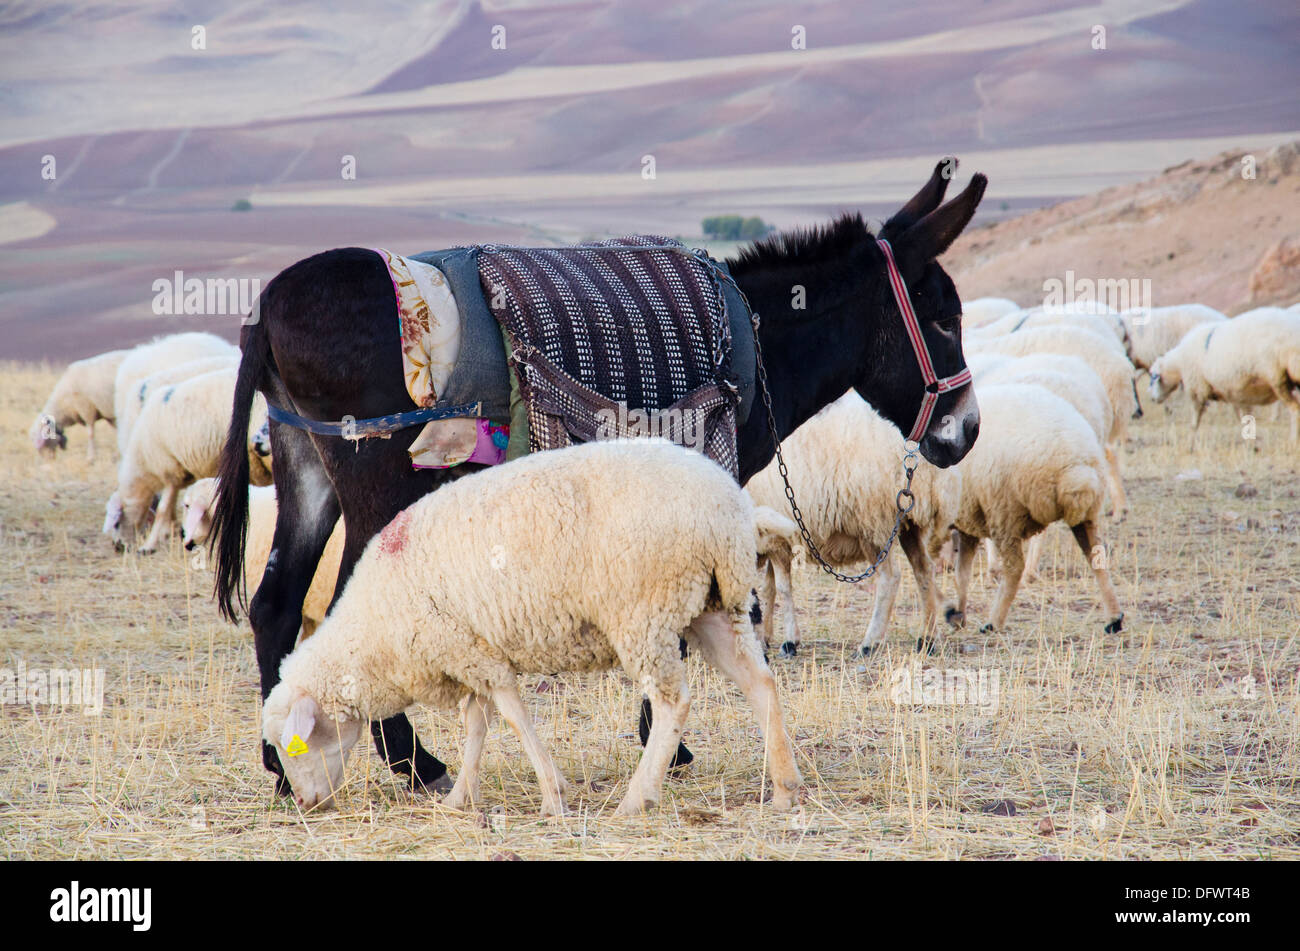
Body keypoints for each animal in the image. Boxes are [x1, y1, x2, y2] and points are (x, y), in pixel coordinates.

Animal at [109, 368, 268, 553]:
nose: (118, 546)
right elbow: (169, 507)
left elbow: (162, 509)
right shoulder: (177, 472)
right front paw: (168, 532)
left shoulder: (169, 468)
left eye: (116, 523)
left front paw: (149, 545)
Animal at [262, 438, 803, 815]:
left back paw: (637, 798)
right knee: (760, 683)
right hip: (714, 607)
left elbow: (514, 719)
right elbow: (477, 726)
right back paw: (783, 787)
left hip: (643, 614)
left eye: (294, 746)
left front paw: (552, 796)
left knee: (674, 702)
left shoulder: (476, 655)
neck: (373, 634)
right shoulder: (472, 652)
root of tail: (731, 510)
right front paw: (460, 798)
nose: (305, 804)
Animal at [746, 392, 961, 656]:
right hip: (908, 525)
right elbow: (769, 587)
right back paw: (927, 638)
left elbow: (782, 588)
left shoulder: (775, 537)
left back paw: (870, 642)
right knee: (924, 570)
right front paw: (766, 636)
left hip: (873, 522)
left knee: (891, 578)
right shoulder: (769, 540)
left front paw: (789, 641)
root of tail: (935, 473)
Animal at [947, 383, 1123, 635]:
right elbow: (961, 574)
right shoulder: (967, 519)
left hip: (1004, 510)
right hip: (1086, 514)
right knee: (1097, 558)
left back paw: (993, 622)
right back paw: (1114, 619)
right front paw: (958, 615)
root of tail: (1075, 463)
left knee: (1014, 568)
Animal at [1149, 307, 1300, 446]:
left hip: (1278, 378)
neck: (1179, 362)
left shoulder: (1198, 389)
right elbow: (1243, 417)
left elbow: (1194, 422)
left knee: (1295, 408)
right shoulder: (1234, 392)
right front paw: (1251, 445)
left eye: (1153, 377)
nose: (1152, 399)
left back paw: (1293, 441)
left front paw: (1190, 446)